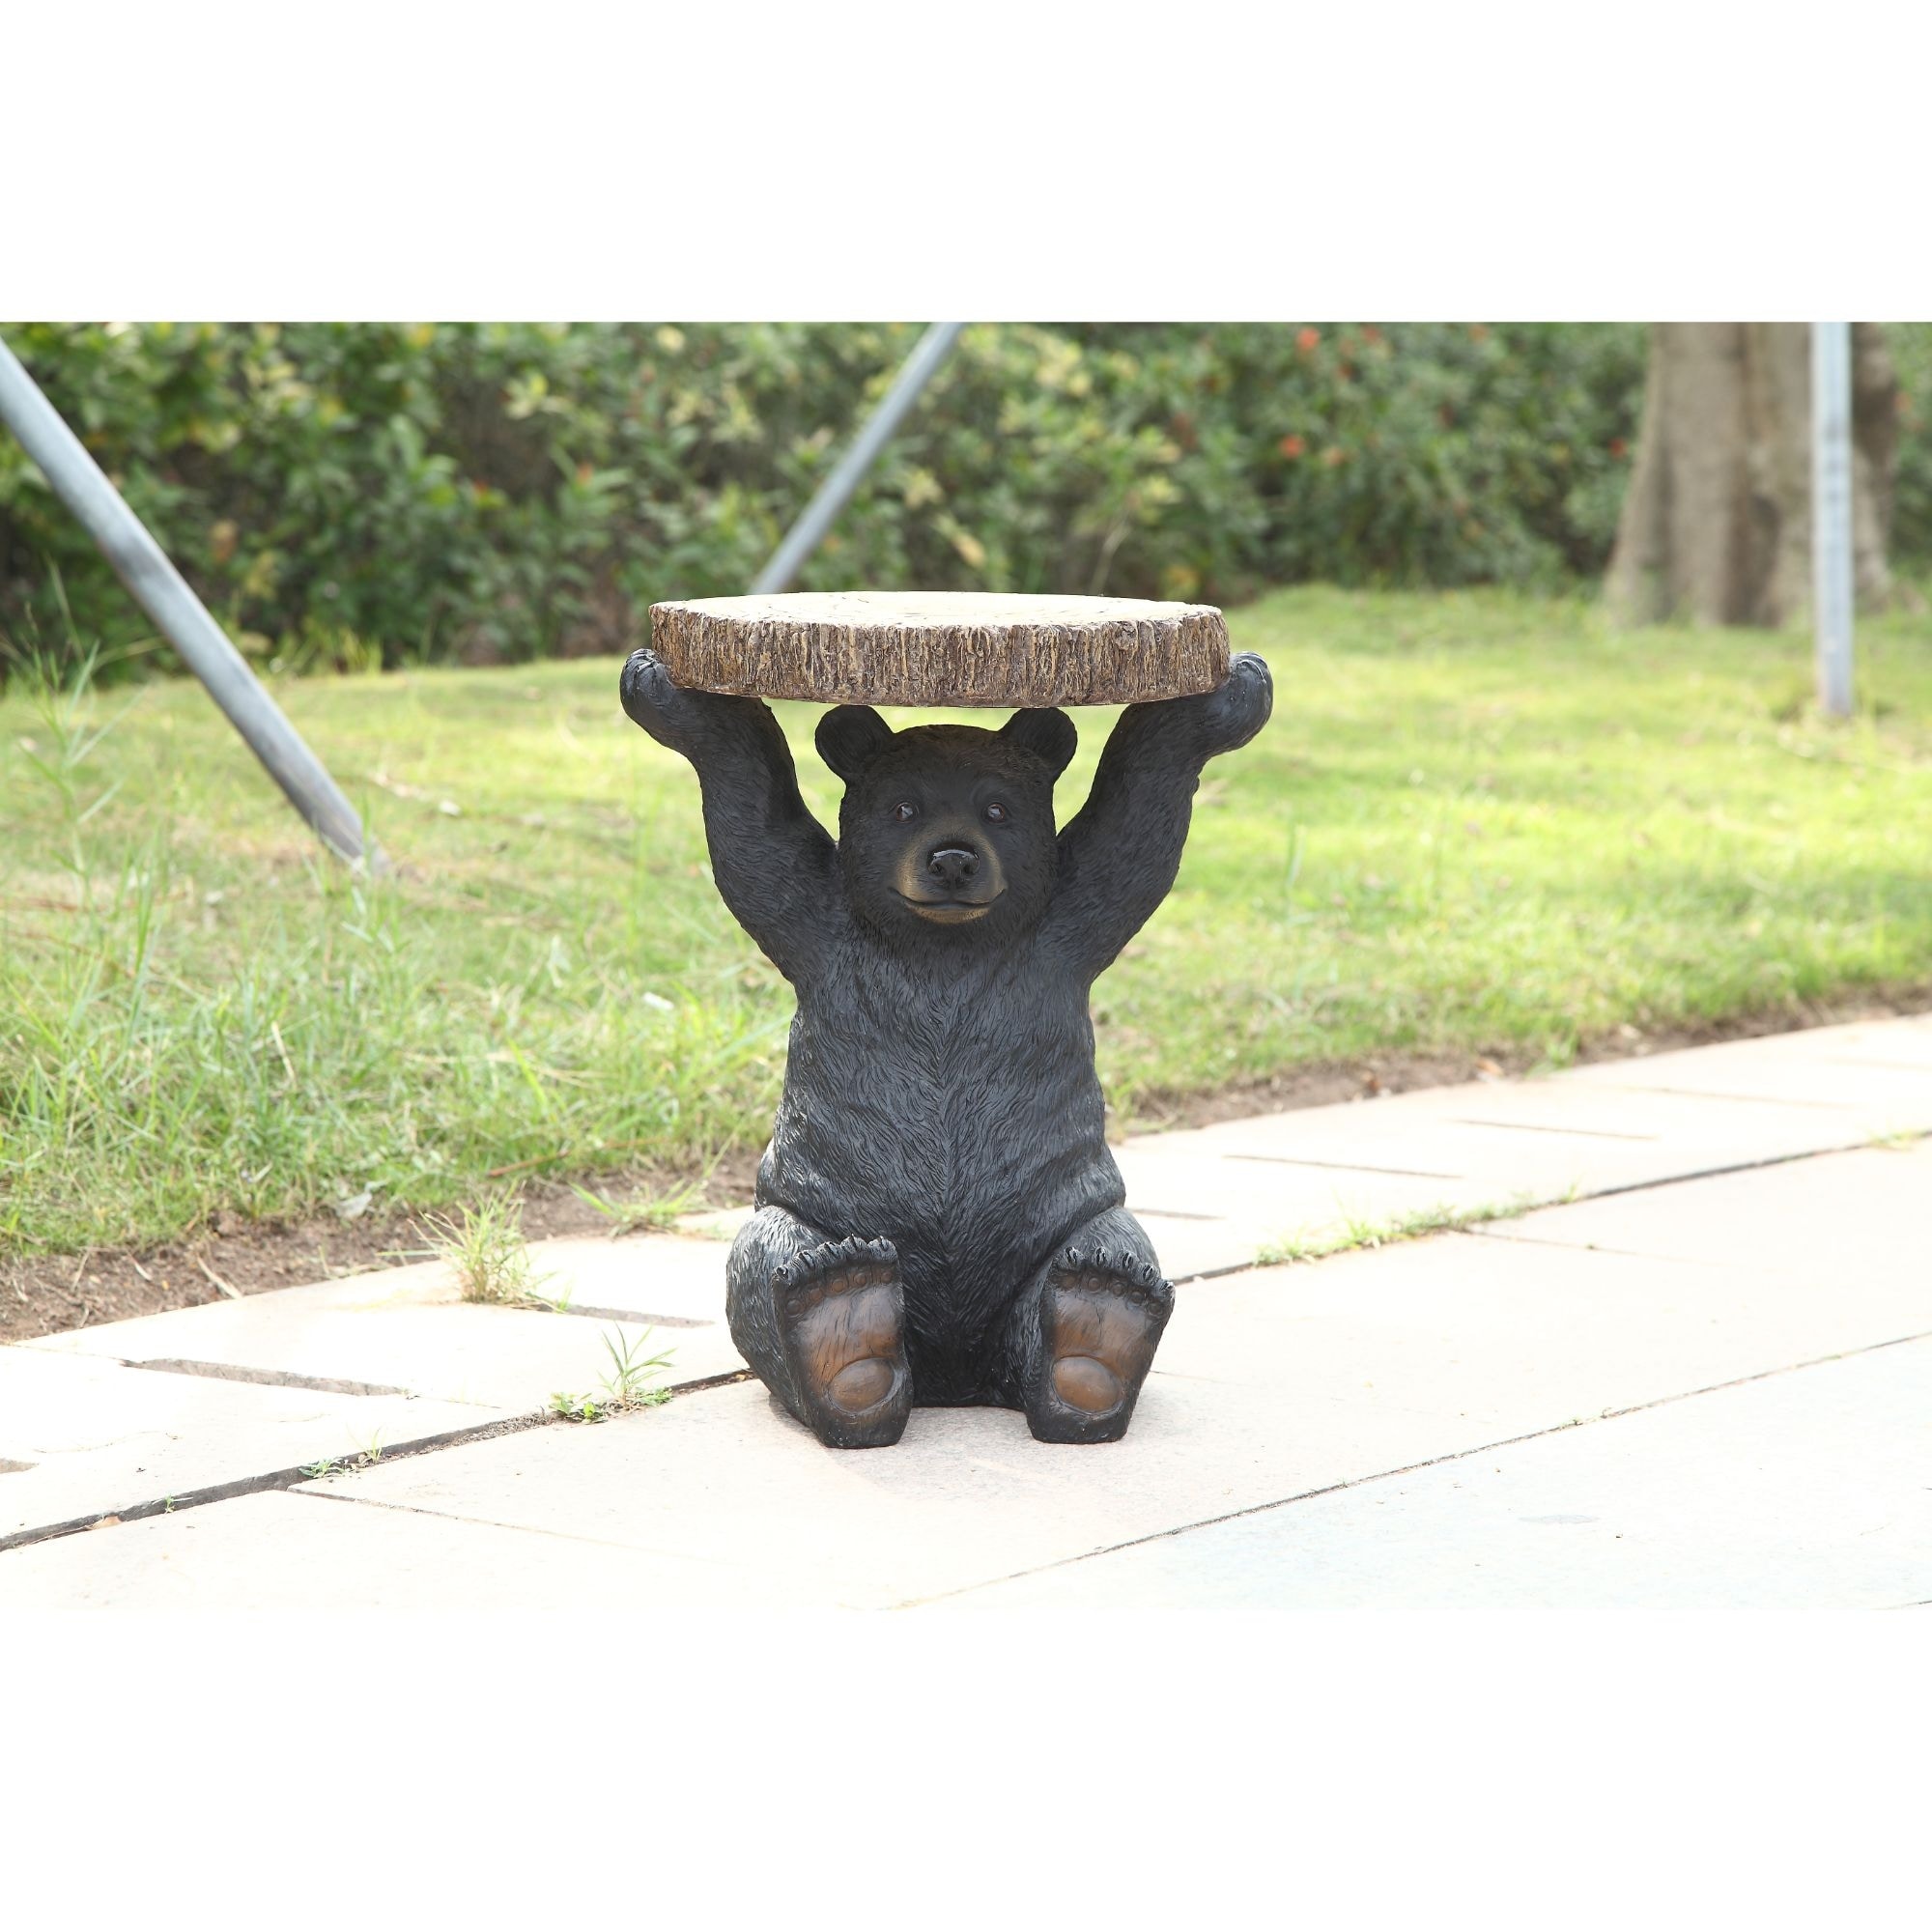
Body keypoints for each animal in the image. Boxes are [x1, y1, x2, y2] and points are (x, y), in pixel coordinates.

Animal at [620, 644, 1273, 1449]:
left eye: (998, 809)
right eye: (903, 808)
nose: (954, 859)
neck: (945, 947)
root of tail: (955, 1377)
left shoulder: (1056, 938)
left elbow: (1133, 835)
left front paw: (1228, 691)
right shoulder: (826, 934)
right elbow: (756, 836)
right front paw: (666, 688)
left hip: (1062, 1219)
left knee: (1114, 1247)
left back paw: (1096, 1327)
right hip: (817, 1212)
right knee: (762, 1263)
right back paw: (842, 1327)